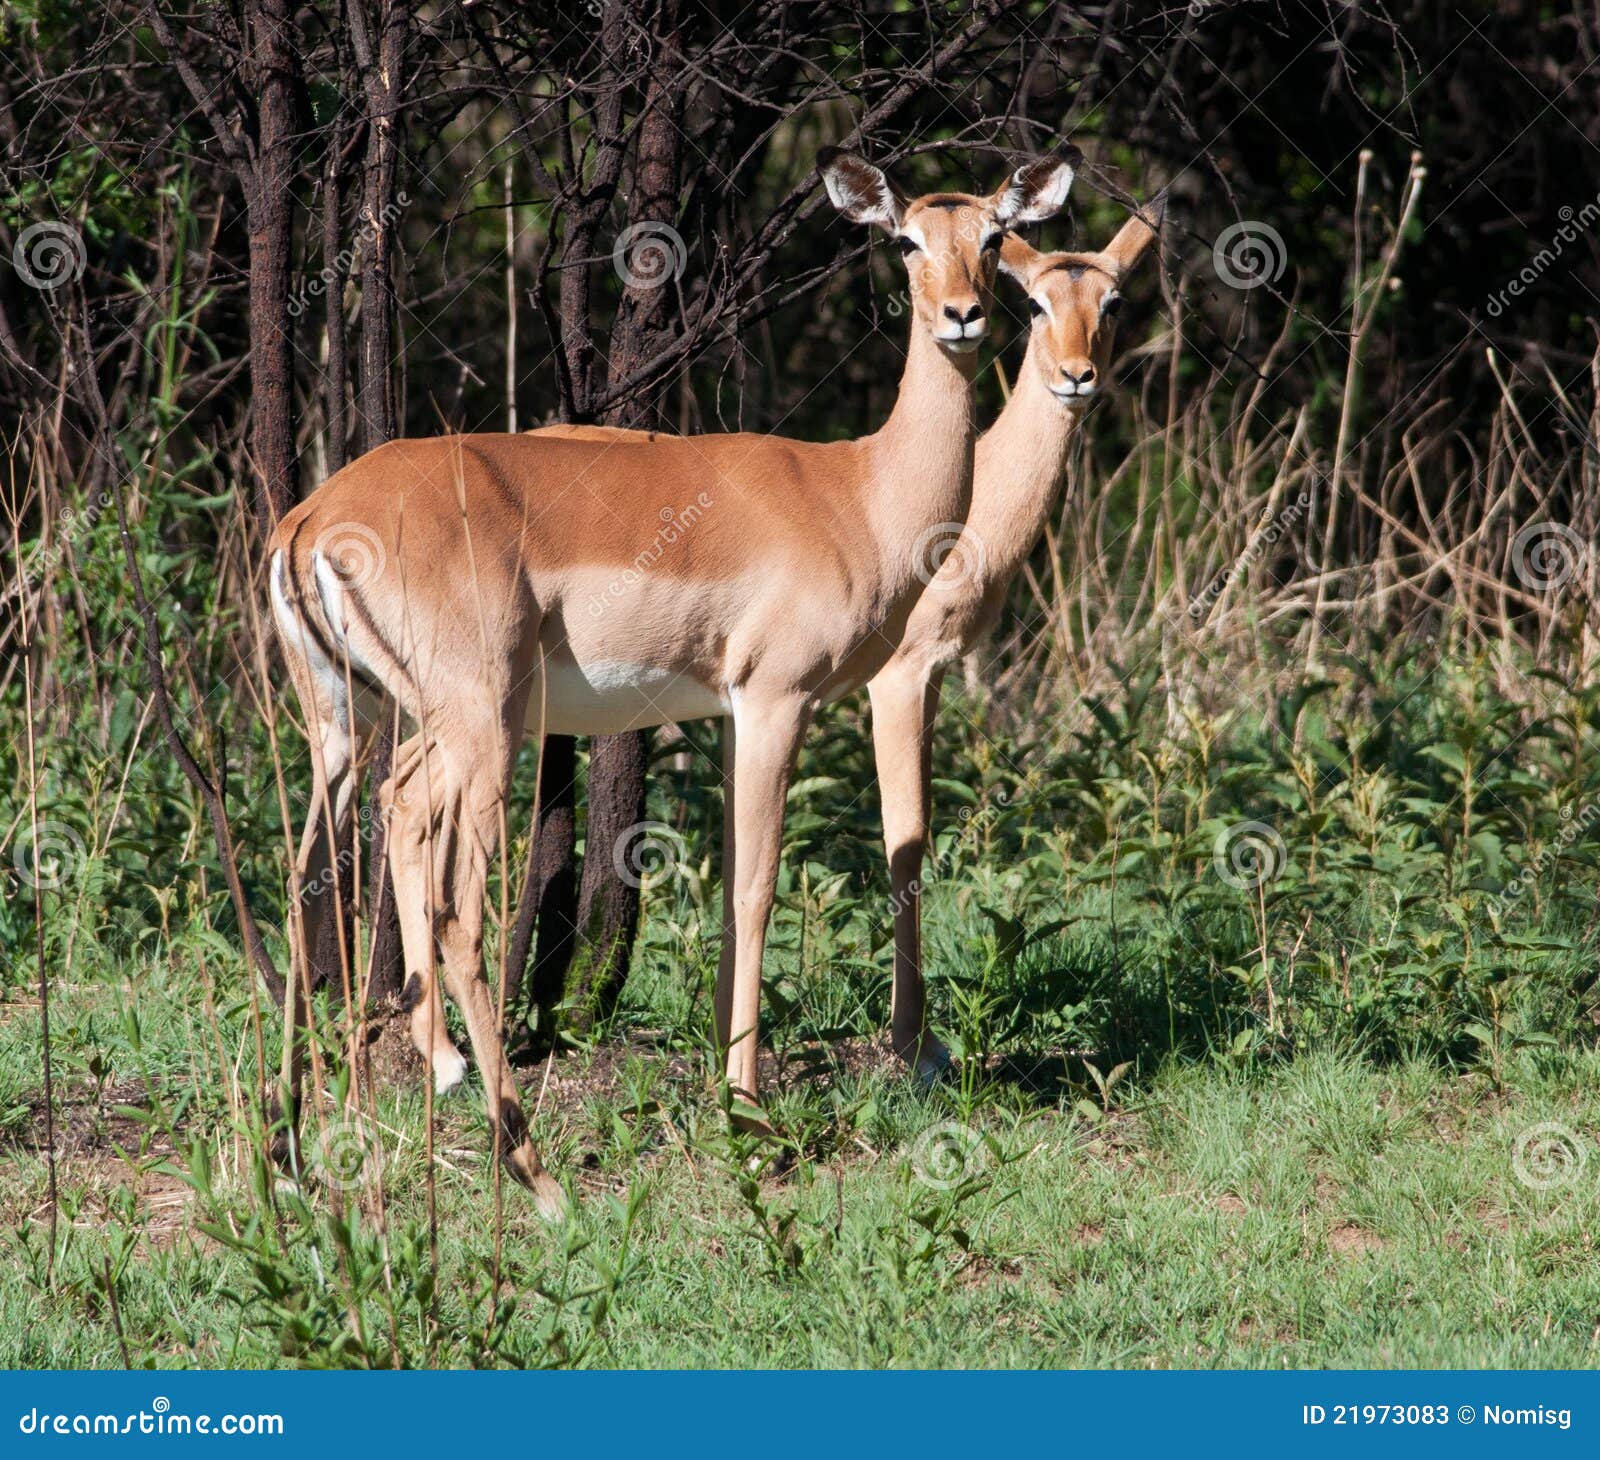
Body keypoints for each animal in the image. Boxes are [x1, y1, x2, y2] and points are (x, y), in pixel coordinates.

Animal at [267, 148, 1079, 1214]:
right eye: (905, 239)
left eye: (992, 235)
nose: (962, 317)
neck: (858, 492)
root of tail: (313, 517)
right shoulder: (780, 700)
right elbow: (760, 888)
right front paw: (751, 1115)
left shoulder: (733, 712)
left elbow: (733, 883)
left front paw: (727, 1090)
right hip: (481, 721)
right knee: (455, 906)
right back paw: (533, 1172)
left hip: (350, 726)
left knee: (309, 873)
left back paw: (298, 1145)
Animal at [541, 198, 1163, 1078]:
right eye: (1038, 303)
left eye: (1113, 302)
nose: (1078, 377)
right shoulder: (897, 677)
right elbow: (907, 840)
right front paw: (917, 1047)